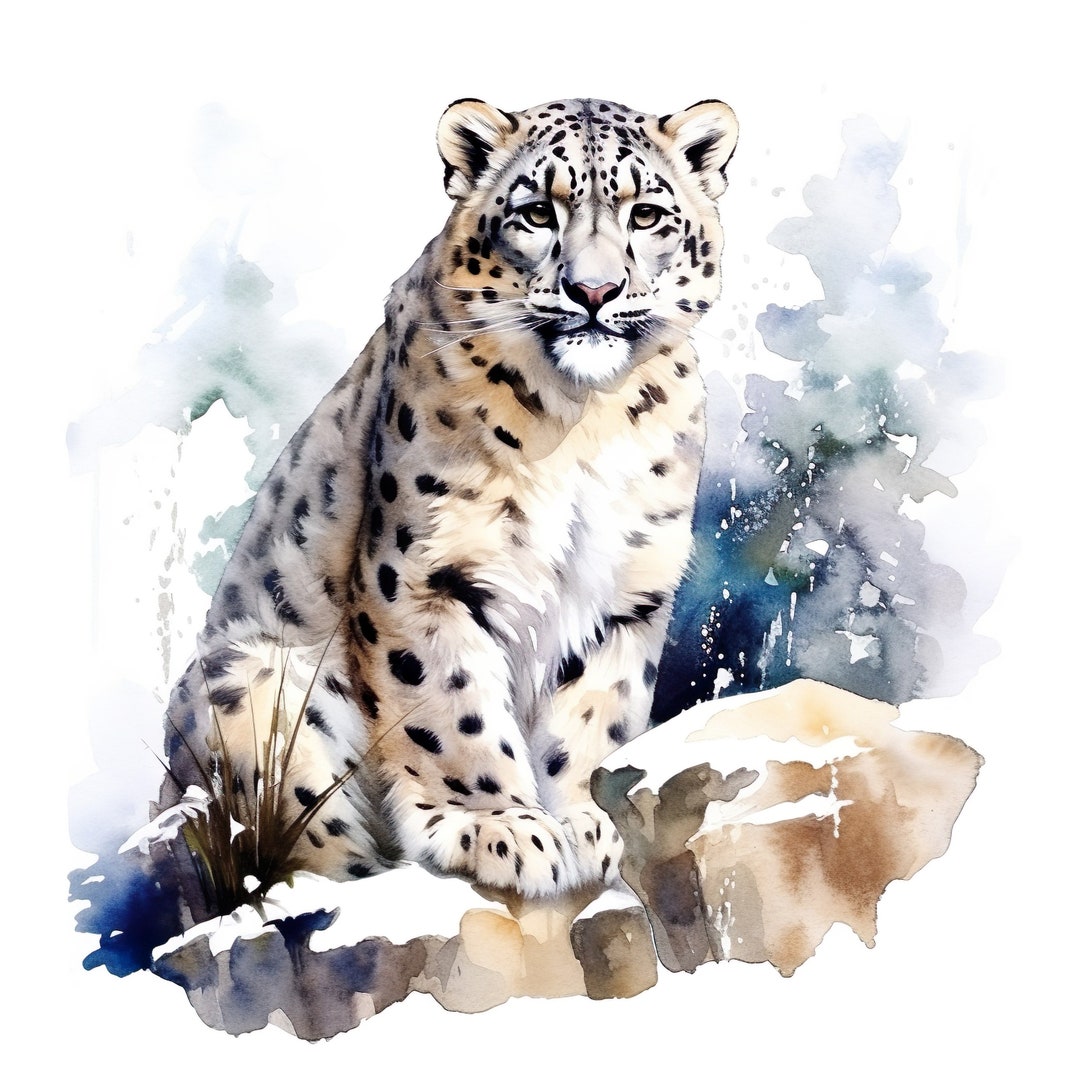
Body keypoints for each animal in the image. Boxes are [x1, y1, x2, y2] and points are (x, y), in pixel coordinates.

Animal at [164, 96, 739, 900]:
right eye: (537, 211)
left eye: (647, 214)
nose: (594, 292)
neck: (582, 419)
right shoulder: (425, 571)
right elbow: (452, 704)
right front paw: (500, 826)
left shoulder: (627, 593)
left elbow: (596, 714)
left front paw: (585, 820)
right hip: (243, 682)